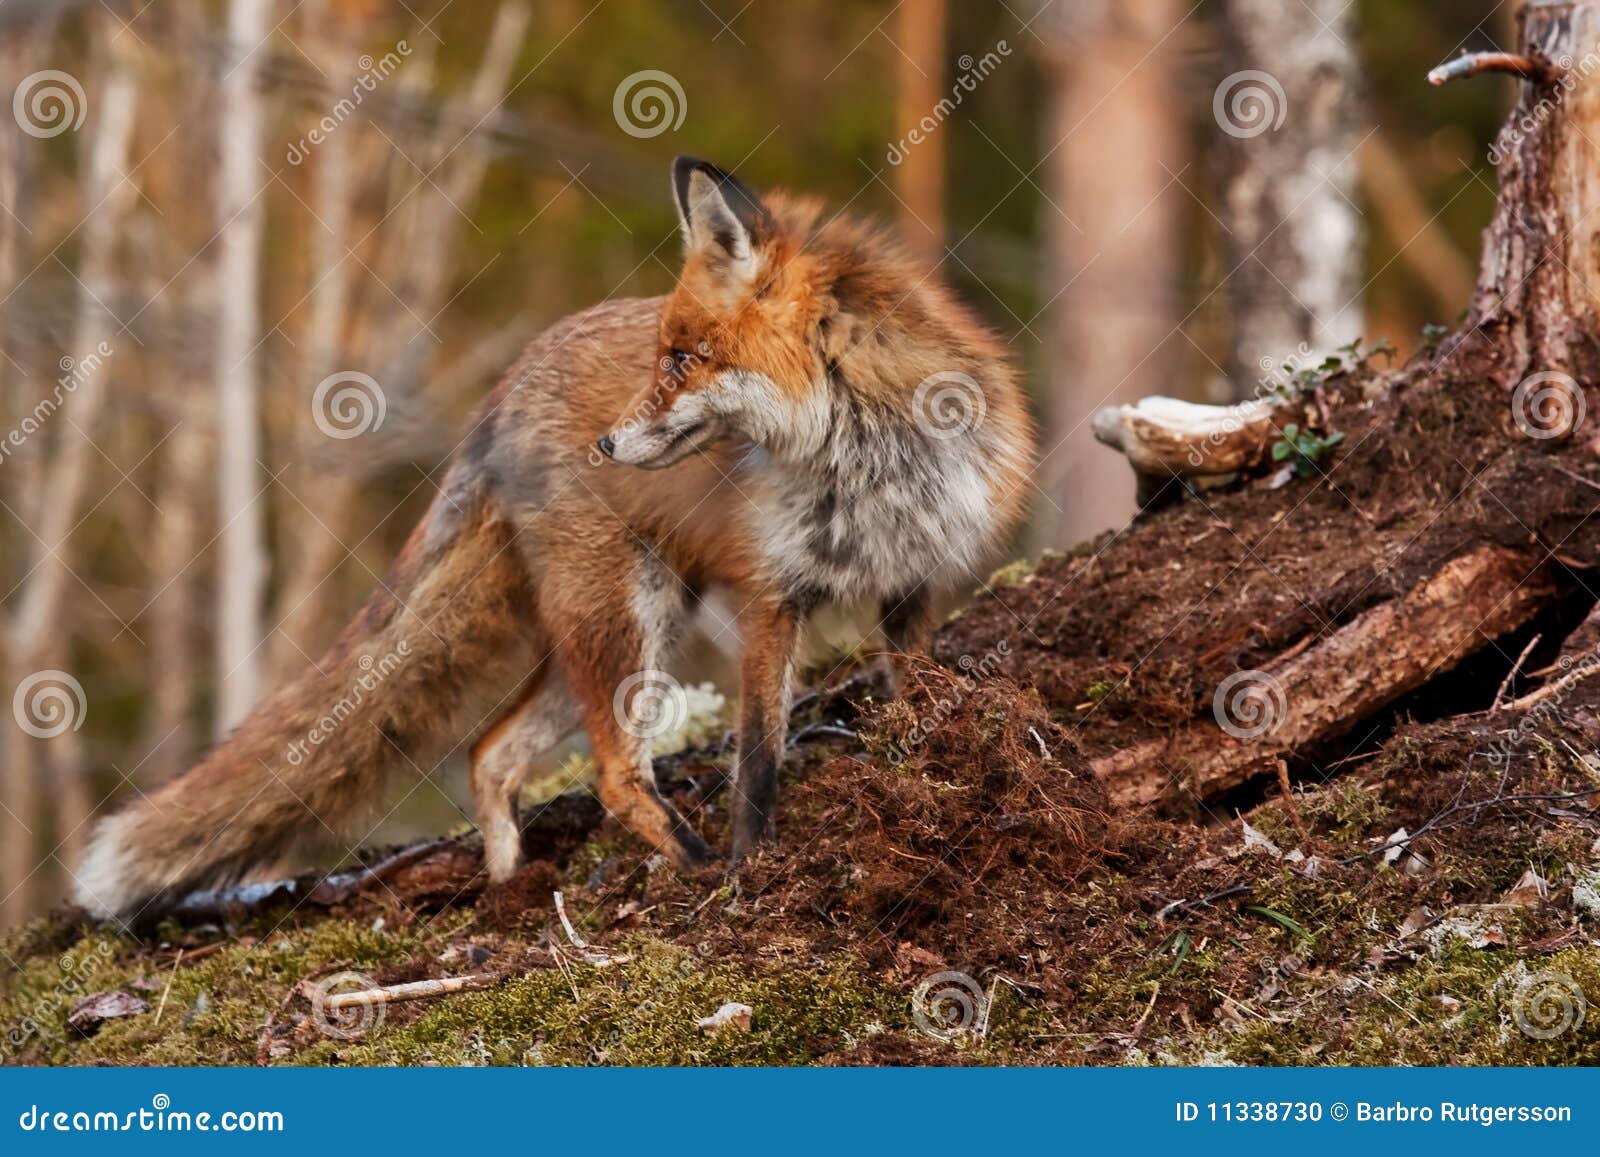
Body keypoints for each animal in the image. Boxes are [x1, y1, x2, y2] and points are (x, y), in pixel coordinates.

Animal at [74, 156, 1035, 920]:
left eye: (683, 359)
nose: (606, 444)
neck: (871, 462)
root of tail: (503, 390)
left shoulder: (911, 580)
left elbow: (914, 692)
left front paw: (937, 772)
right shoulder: (774, 597)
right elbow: (758, 763)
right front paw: (755, 867)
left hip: (625, 634)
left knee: (489, 753)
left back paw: (509, 891)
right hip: (628, 627)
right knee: (611, 778)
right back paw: (693, 869)